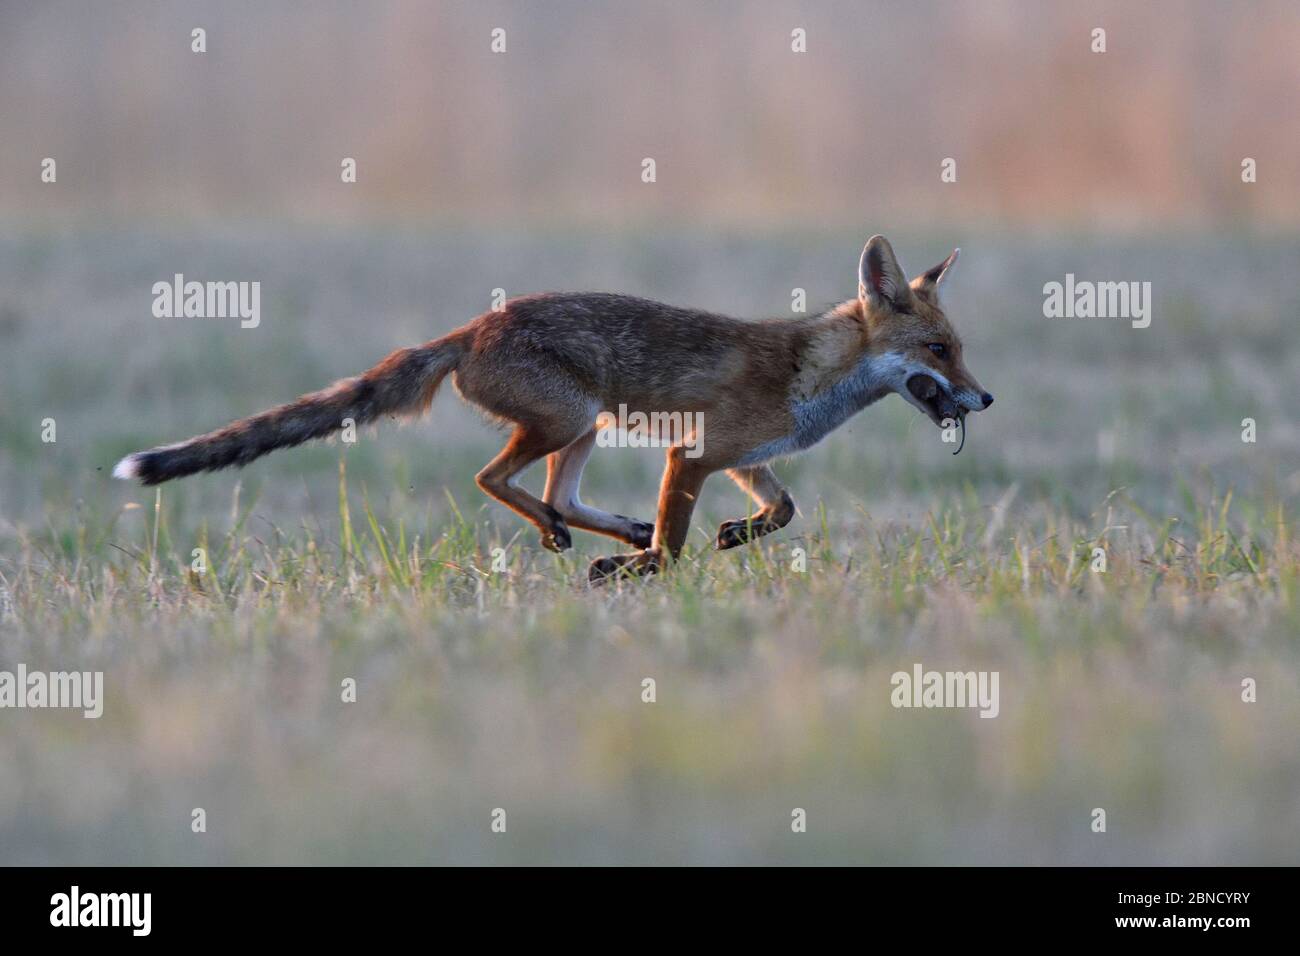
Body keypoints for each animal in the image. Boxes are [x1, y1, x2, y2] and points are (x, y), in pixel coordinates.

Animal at [114, 235, 992, 583]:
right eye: (939, 350)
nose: (986, 398)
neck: (809, 377)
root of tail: (472, 328)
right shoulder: (694, 455)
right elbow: (675, 546)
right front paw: (648, 570)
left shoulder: (744, 461)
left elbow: (784, 511)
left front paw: (731, 536)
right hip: (568, 420)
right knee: (494, 481)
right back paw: (572, 539)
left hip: (587, 427)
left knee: (556, 494)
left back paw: (601, 533)